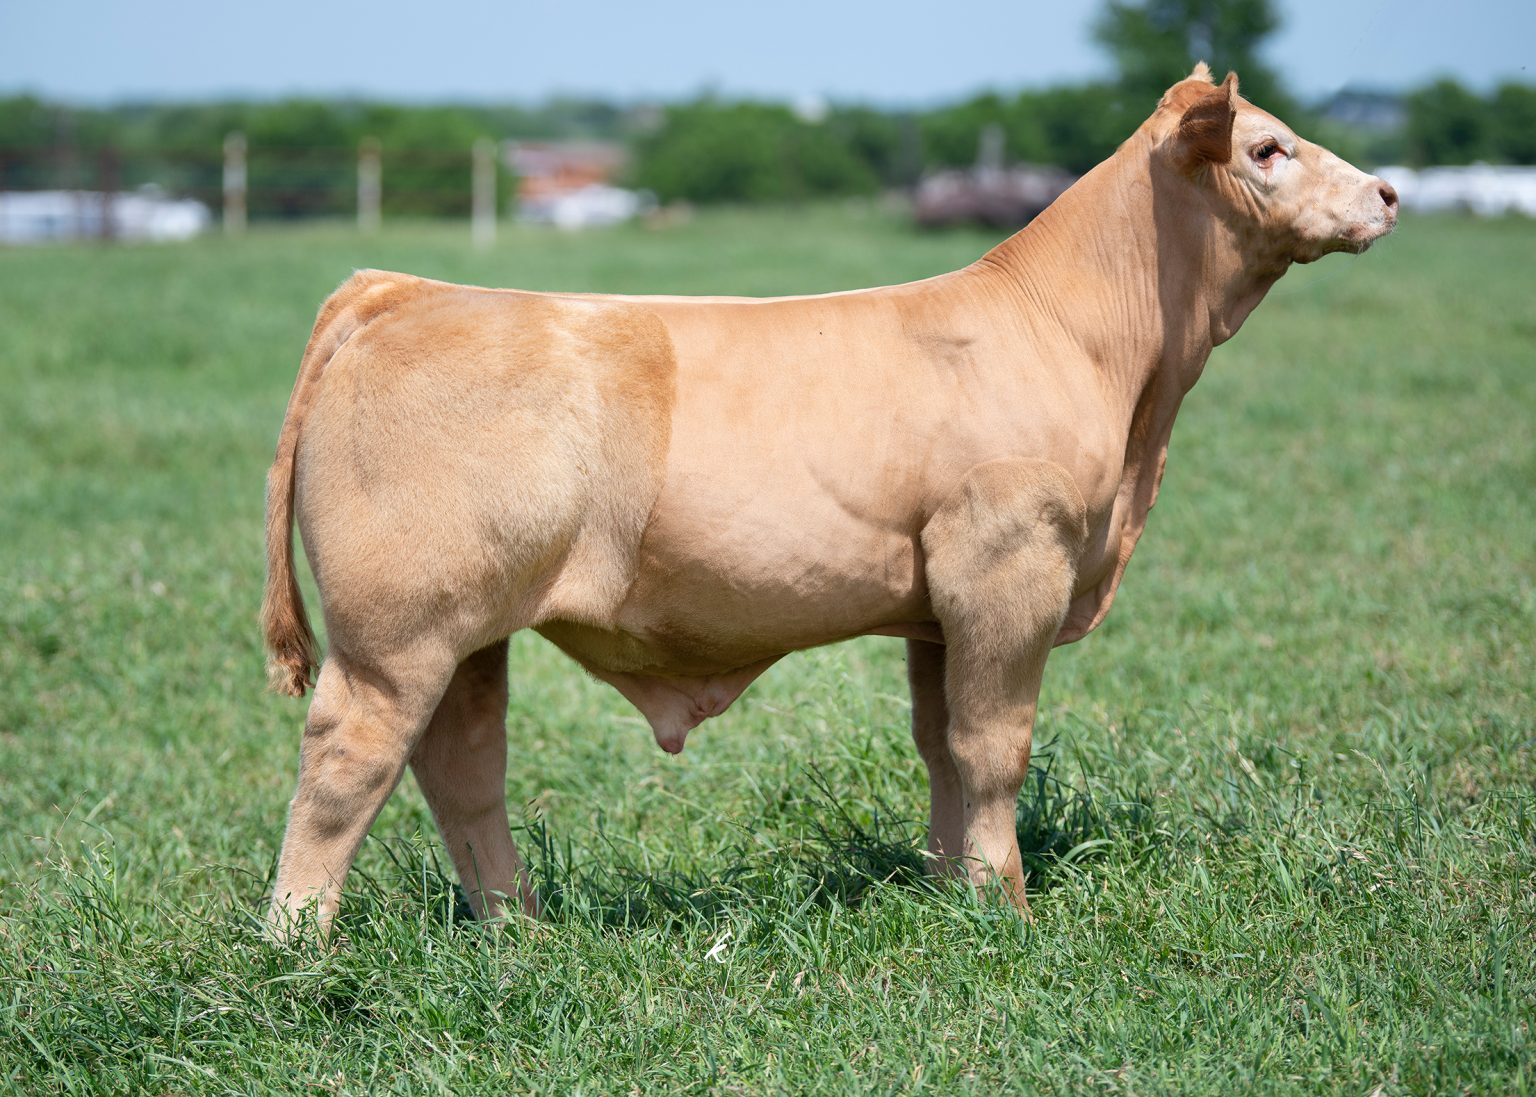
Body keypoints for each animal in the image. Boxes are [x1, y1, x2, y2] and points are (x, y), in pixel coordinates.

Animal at [261, 66, 1398, 938]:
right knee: (347, 763)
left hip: (469, 631)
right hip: (396, 633)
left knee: (462, 767)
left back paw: (521, 932)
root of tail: (402, 290)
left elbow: (943, 747)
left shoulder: (939, 608)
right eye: (1267, 149)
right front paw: (1011, 908)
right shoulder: (1011, 566)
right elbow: (996, 747)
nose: (1388, 191)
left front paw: (953, 890)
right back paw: (301, 950)